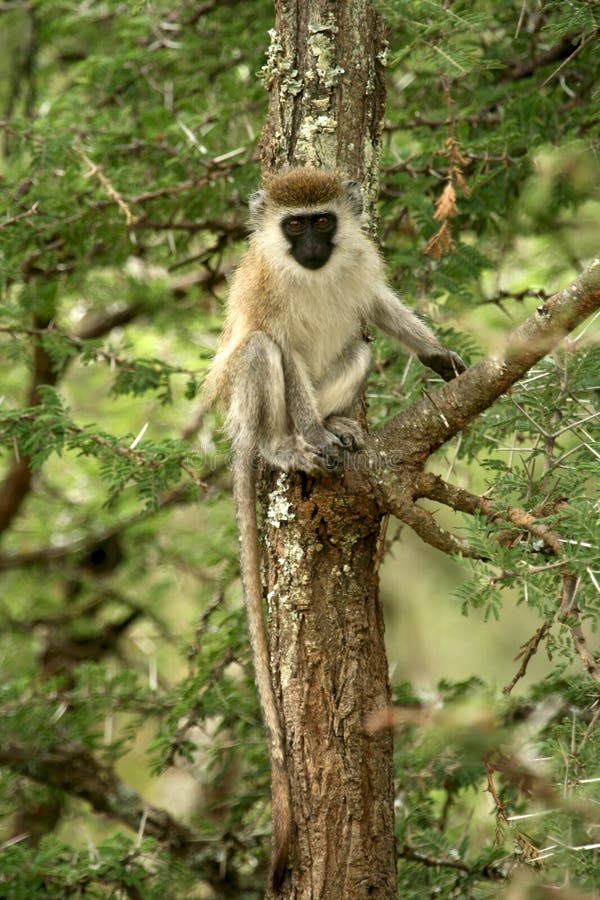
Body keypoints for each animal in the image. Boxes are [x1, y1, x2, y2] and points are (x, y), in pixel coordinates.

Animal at [203, 167, 466, 887]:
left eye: (323, 221)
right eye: (294, 226)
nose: (314, 245)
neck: (311, 273)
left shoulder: (361, 267)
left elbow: (376, 307)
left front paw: (438, 354)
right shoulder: (266, 289)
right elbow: (282, 347)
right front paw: (311, 439)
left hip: (337, 379)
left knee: (360, 344)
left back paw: (344, 426)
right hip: (250, 407)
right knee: (262, 353)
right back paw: (292, 445)